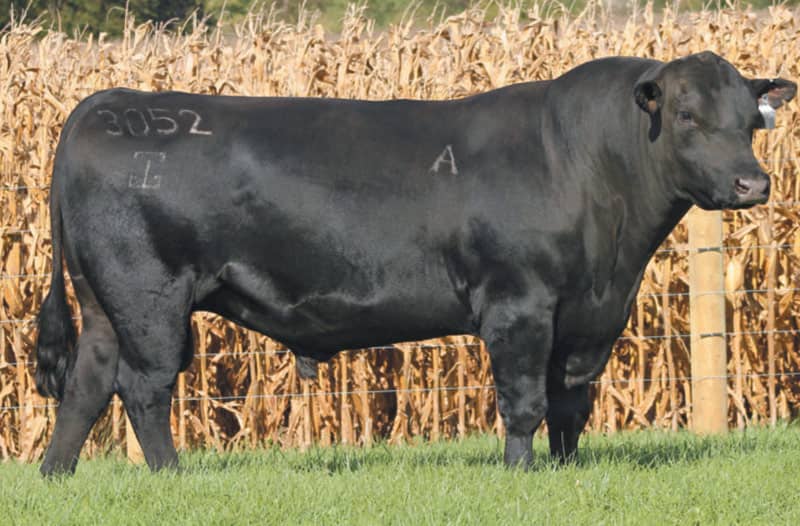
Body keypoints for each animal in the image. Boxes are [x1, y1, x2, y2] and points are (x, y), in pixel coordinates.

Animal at [35, 51, 795, 475]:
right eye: (688, 116)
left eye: (750, 121)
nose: (752, 184)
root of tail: (111, 103)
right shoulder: (518, 304)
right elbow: (524, 401)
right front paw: (521, 476)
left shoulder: (590, 317)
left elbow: (571, 403)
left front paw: (565, 470)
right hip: (148, 295)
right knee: (144, 386)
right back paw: (171, 476)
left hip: (104, 302)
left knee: (87, 383)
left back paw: (55, 476)